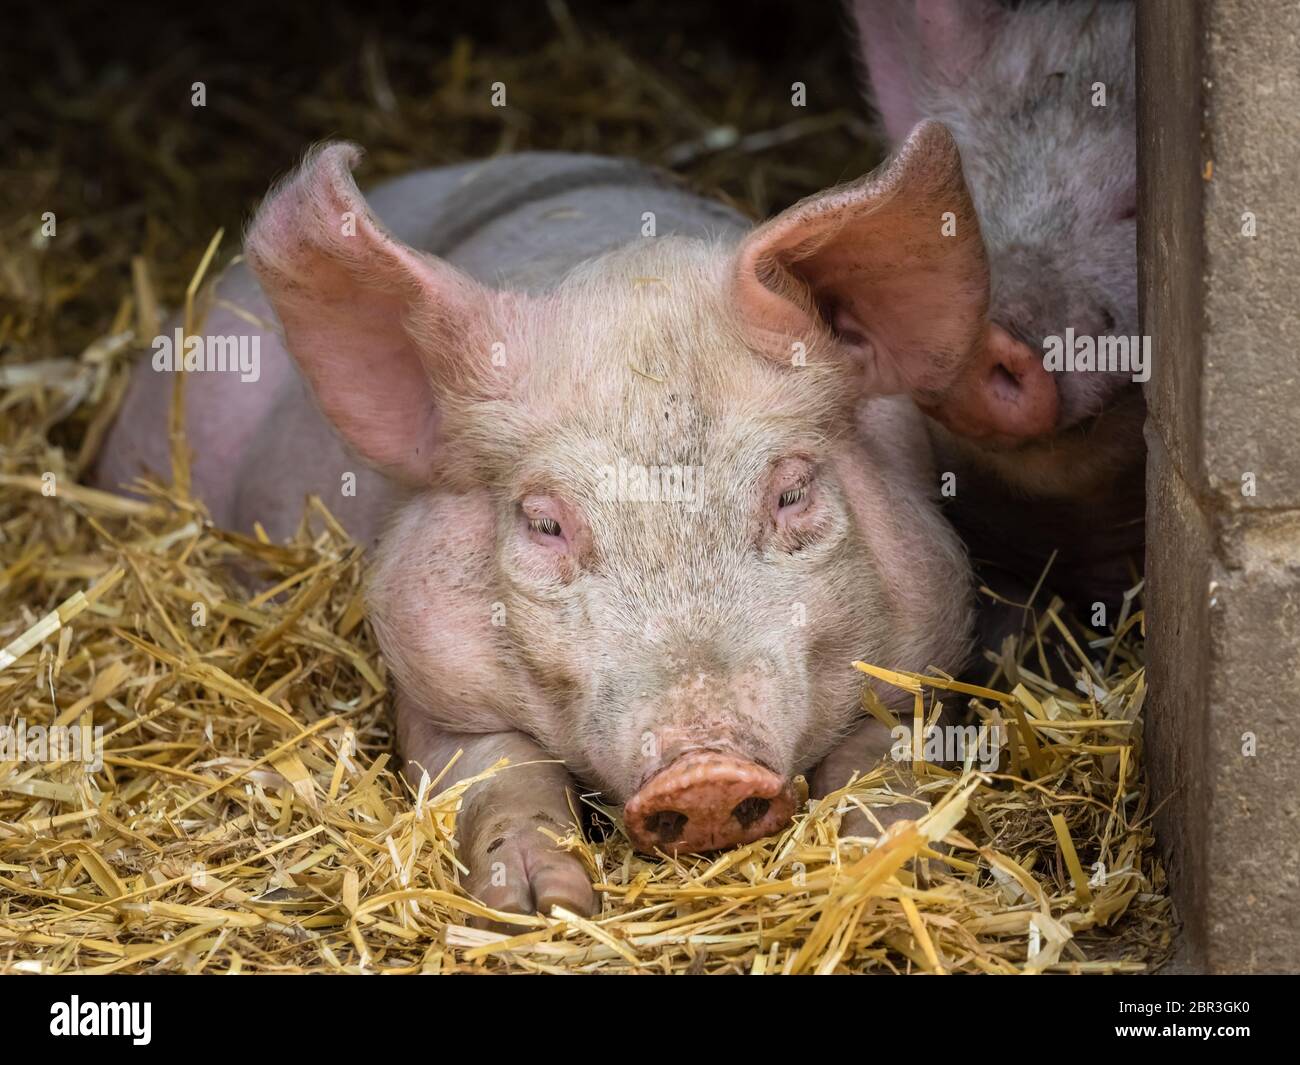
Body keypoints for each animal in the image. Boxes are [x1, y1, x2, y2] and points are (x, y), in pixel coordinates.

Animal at [95, 122, 989, 918]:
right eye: (545, 523)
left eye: (793, 490)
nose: (705, 773)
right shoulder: (433, 682)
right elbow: (501, 773)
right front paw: (537, 905)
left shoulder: (930, 652)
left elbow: (880, 753)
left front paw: (902, 859)